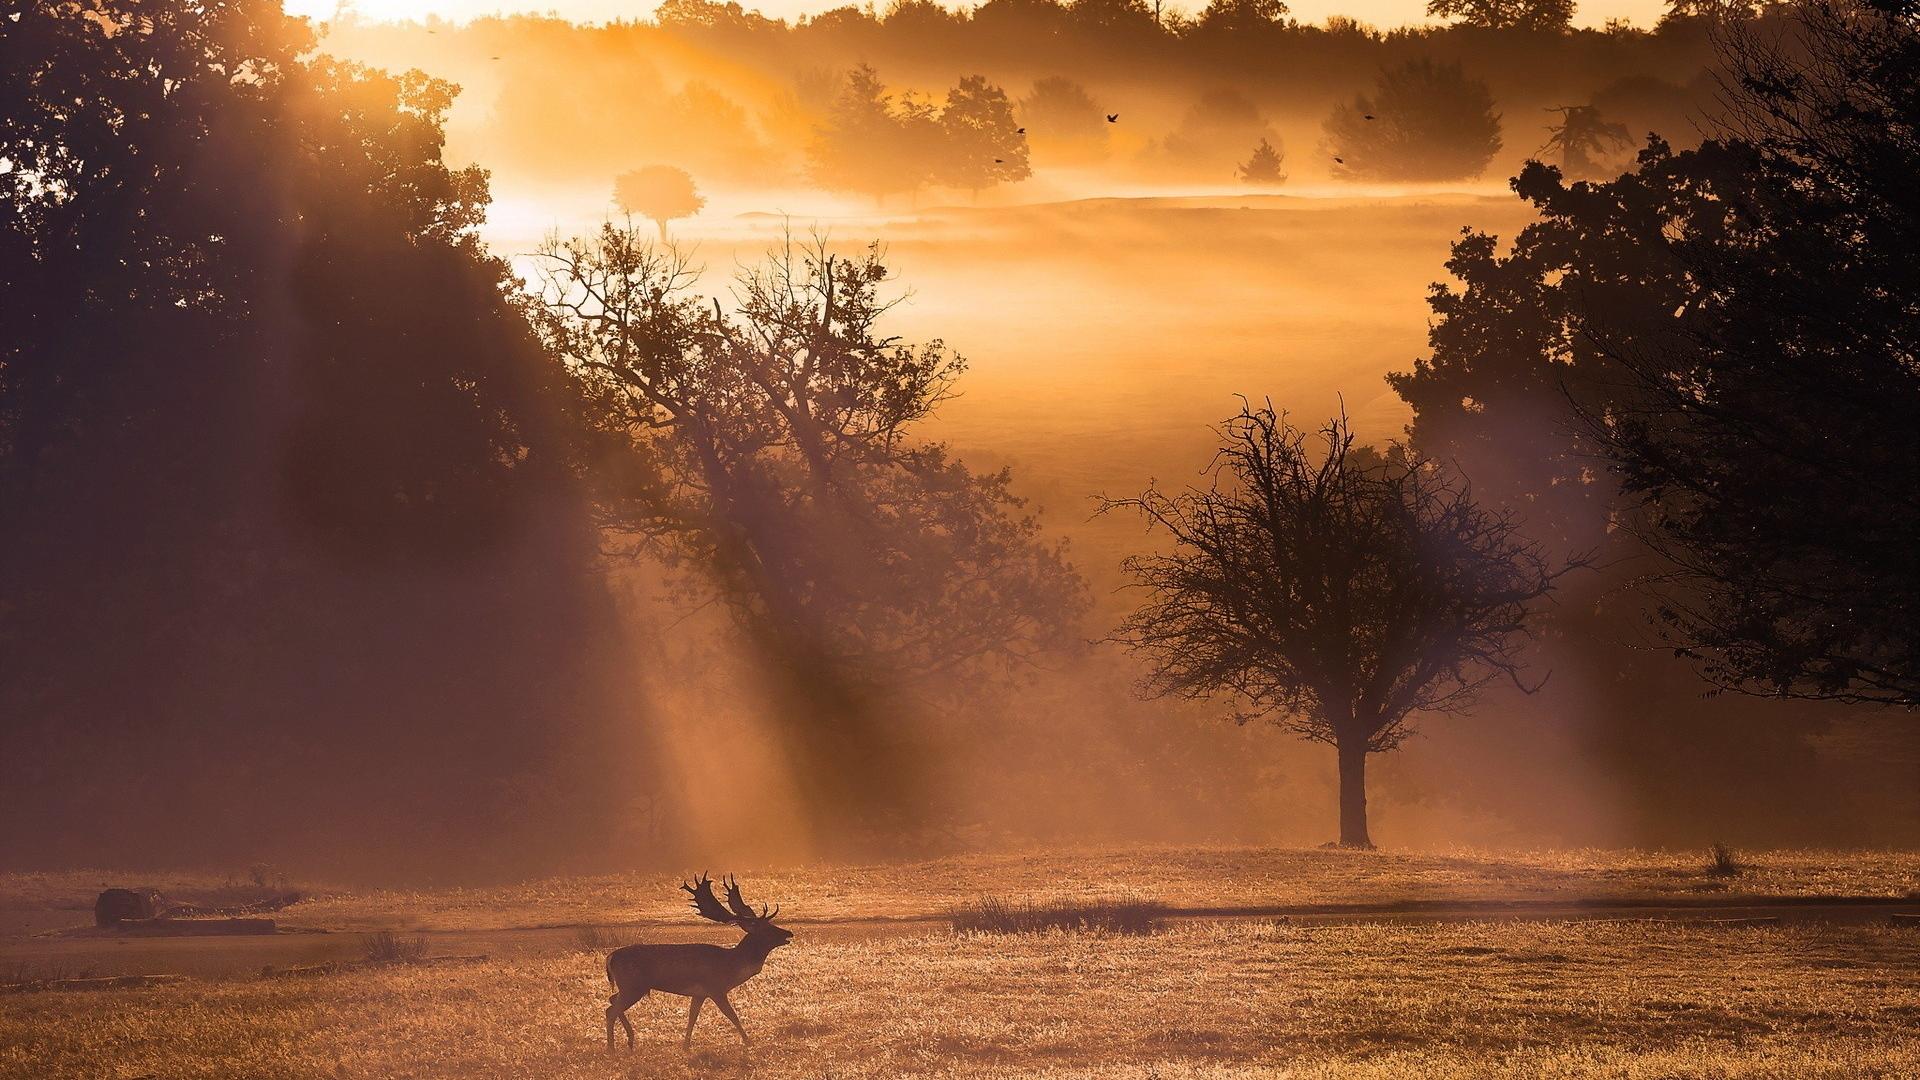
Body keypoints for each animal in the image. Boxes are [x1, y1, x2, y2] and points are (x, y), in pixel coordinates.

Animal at [604, 873, 793, 1052]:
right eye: (766, 929)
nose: (789, 933)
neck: (732, 965)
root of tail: (610, 957)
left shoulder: (699, 994)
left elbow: (692, 1017)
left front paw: (686, 1046)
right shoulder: (715, 988)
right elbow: (732, 1015)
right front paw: (748, 1042)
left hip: (630, 987)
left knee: (612, 1000)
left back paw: (630, 1041)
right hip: (633, 985)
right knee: (611, 1010)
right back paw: (612, 1048)